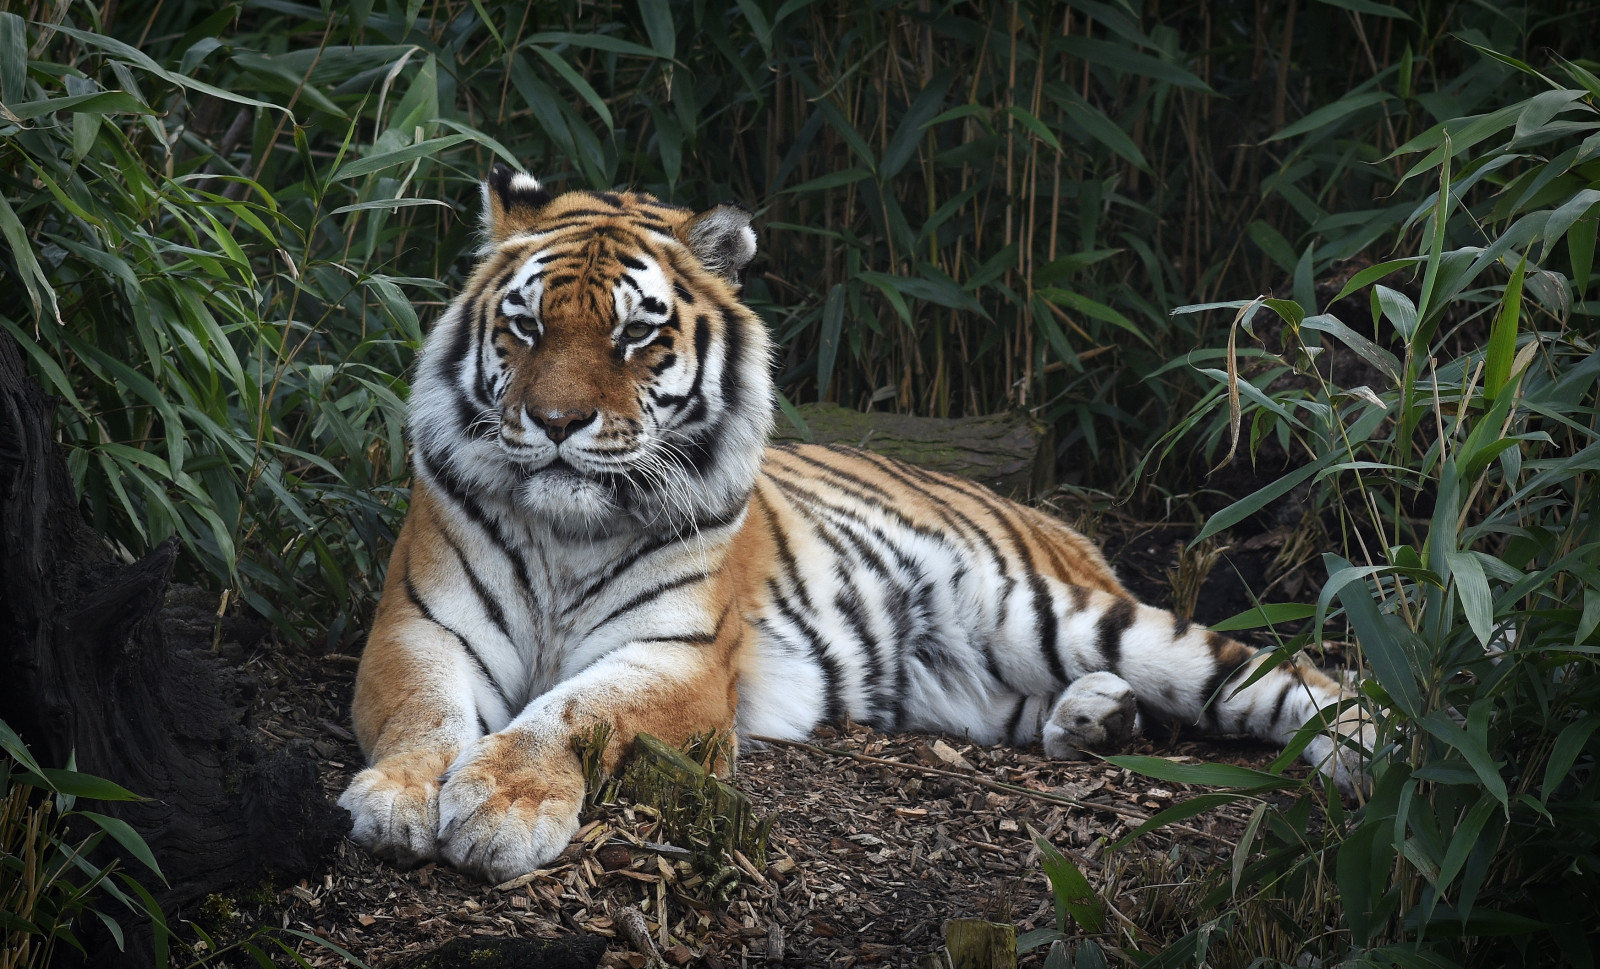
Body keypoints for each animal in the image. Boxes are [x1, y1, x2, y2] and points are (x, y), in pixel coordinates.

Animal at [338, 164, 1368, 884]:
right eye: (526, 327)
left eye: (636, 333)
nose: (555, 423)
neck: (564, 531)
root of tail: (1057, 525)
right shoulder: (419, 626)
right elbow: (426, 711)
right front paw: (397, 798)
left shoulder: (675, 656)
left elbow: (571, 712)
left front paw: (501, 807)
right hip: (976, 681)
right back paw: (1094, 718)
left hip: (1058, 611)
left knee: (1288, 676)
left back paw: (1370, 758)